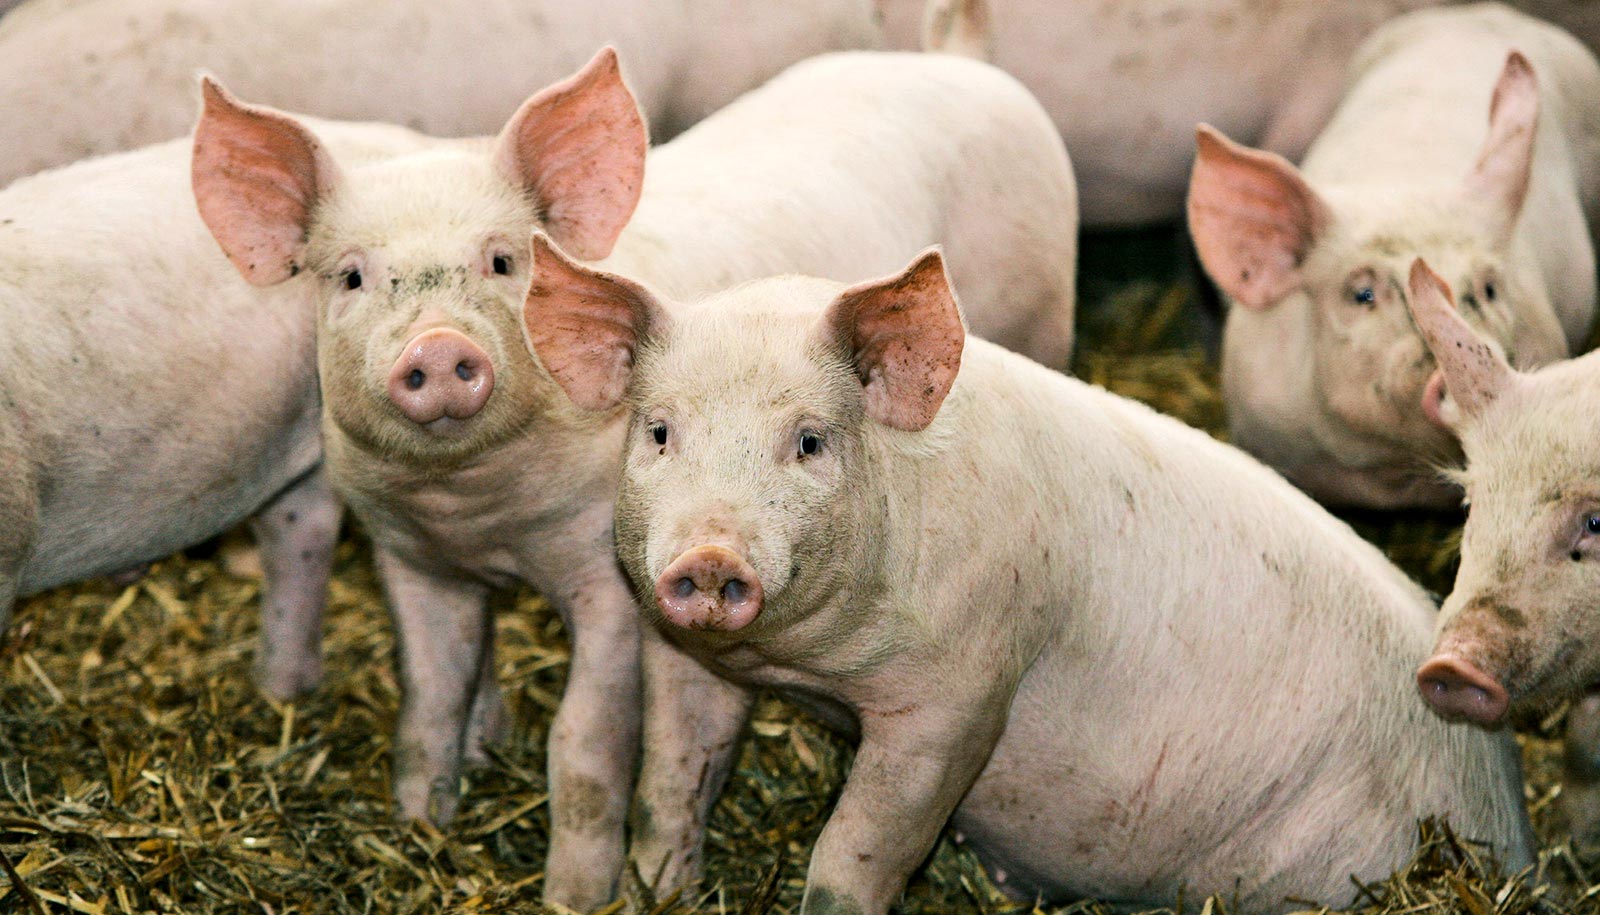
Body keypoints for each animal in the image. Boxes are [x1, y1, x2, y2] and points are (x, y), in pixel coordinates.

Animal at [188, 48, 1076, 910]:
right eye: (350, 277)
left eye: (502, 260)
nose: (438, 346)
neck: (480, 513)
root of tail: (957, 60)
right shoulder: (411, 558)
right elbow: (429, 699)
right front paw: (420, 826)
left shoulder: (610, 577)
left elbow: (583, 740)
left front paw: (575, 897)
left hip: (1043, 314)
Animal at [525, 239, 1535, 915]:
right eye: (660, 430)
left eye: (809, 440)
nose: (710, 557)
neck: (810, 672)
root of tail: (1516, 825)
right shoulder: (689, 656)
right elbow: (671, 782)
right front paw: (651, 890)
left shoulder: (963, 690)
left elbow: (858, 849)